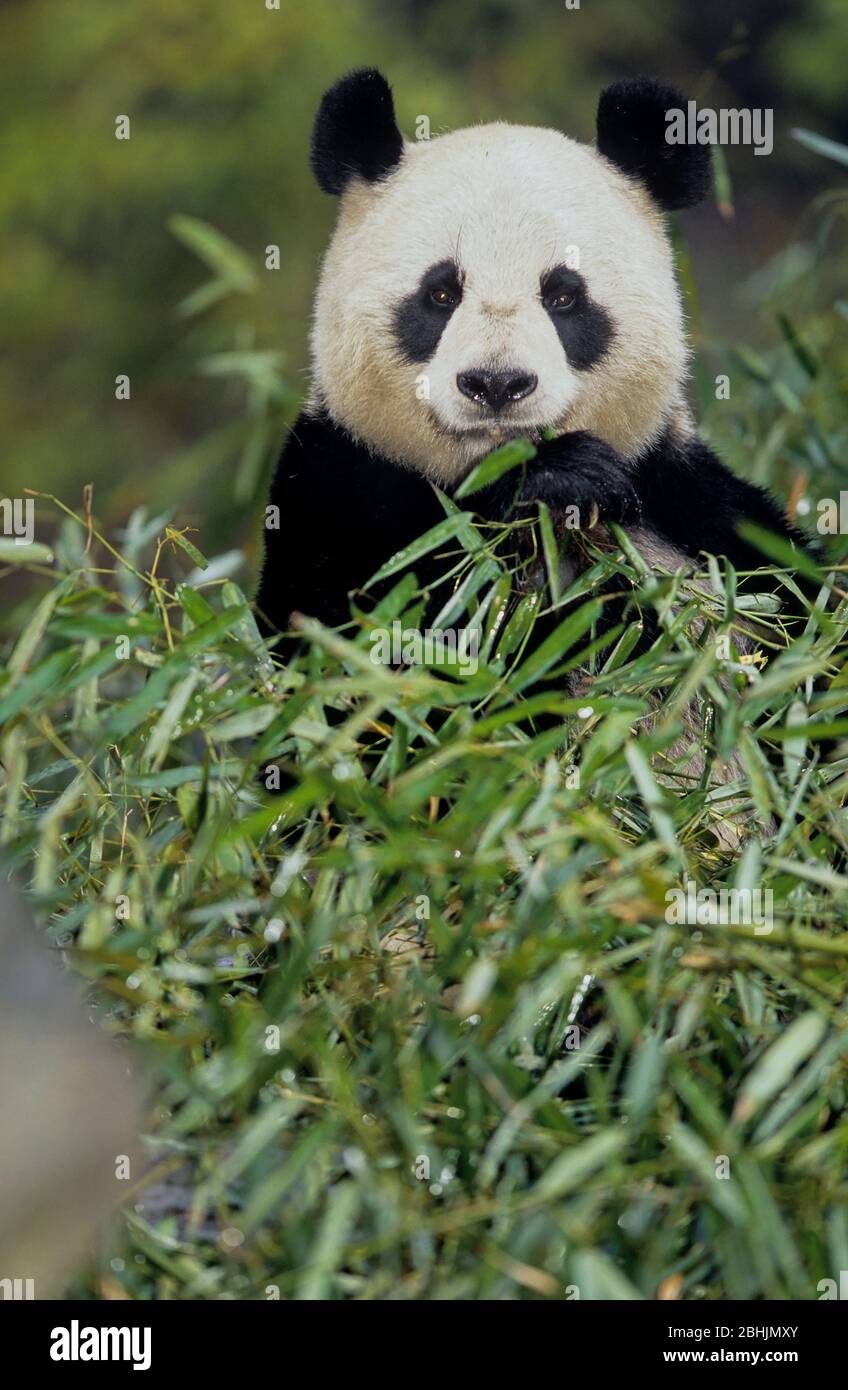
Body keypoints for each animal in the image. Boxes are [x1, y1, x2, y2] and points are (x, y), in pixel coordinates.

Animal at [256, 68, 803, 657]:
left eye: (563, 296)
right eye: (441, 294)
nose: (496, 384)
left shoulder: (688, 501)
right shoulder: (335, 485)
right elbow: (364, 629)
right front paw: (556, 479)